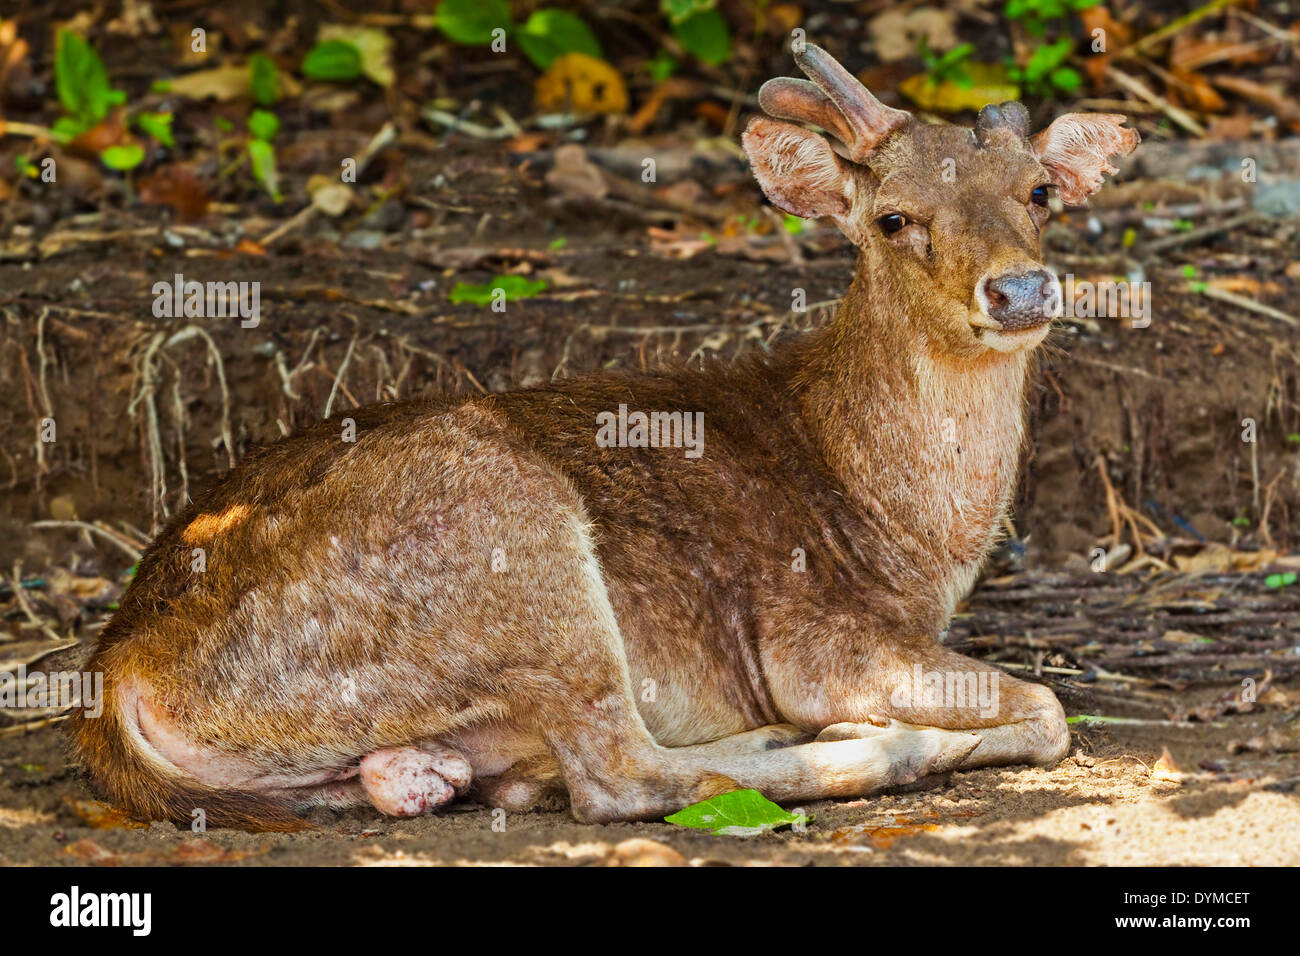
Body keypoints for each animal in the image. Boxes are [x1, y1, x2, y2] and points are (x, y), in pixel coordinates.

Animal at [68, 45, 1138, 830]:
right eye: (893, 217)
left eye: (1041, 192)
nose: (1019, 290)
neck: (904, 537)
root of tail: (119, 676)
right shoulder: (810, 631)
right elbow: (1049, 711)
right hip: (508, 529)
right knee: (624, 778)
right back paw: (875, 744)